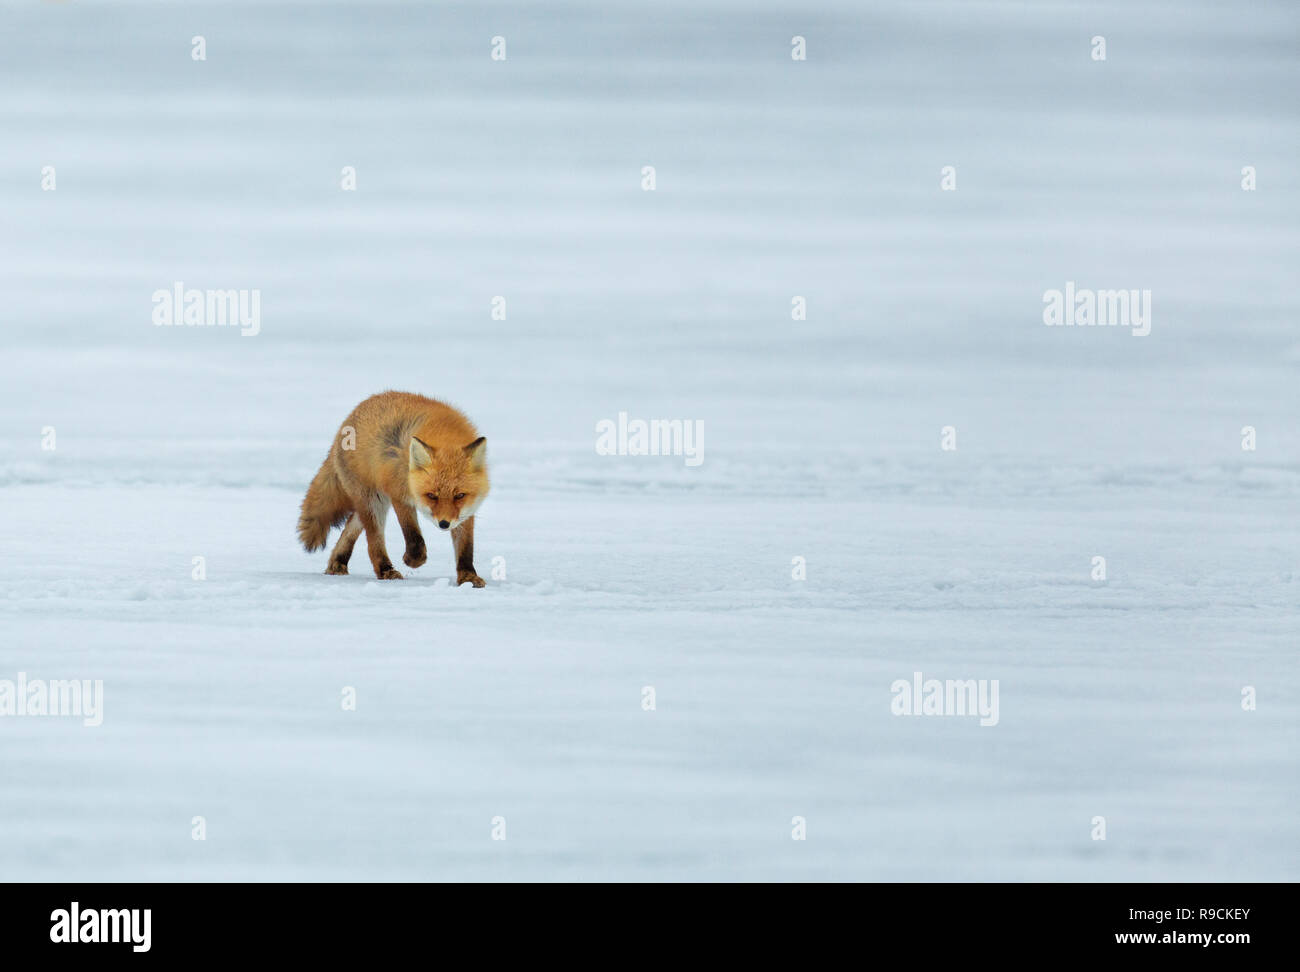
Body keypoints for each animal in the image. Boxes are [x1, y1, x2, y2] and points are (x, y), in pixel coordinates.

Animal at [297, 391, 489, 585]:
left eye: (460, 495)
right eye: (431, 496)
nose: (444, 524)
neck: (443, 433)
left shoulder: (465, 511)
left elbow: (465, 547)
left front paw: (467, 577)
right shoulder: (399, 493)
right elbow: (413, 536)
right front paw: (413, 560)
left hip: (371, 503)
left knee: (350, 526)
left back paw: (337, 563)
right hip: (374, 502)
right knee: (374, 542)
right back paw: (385, 570)